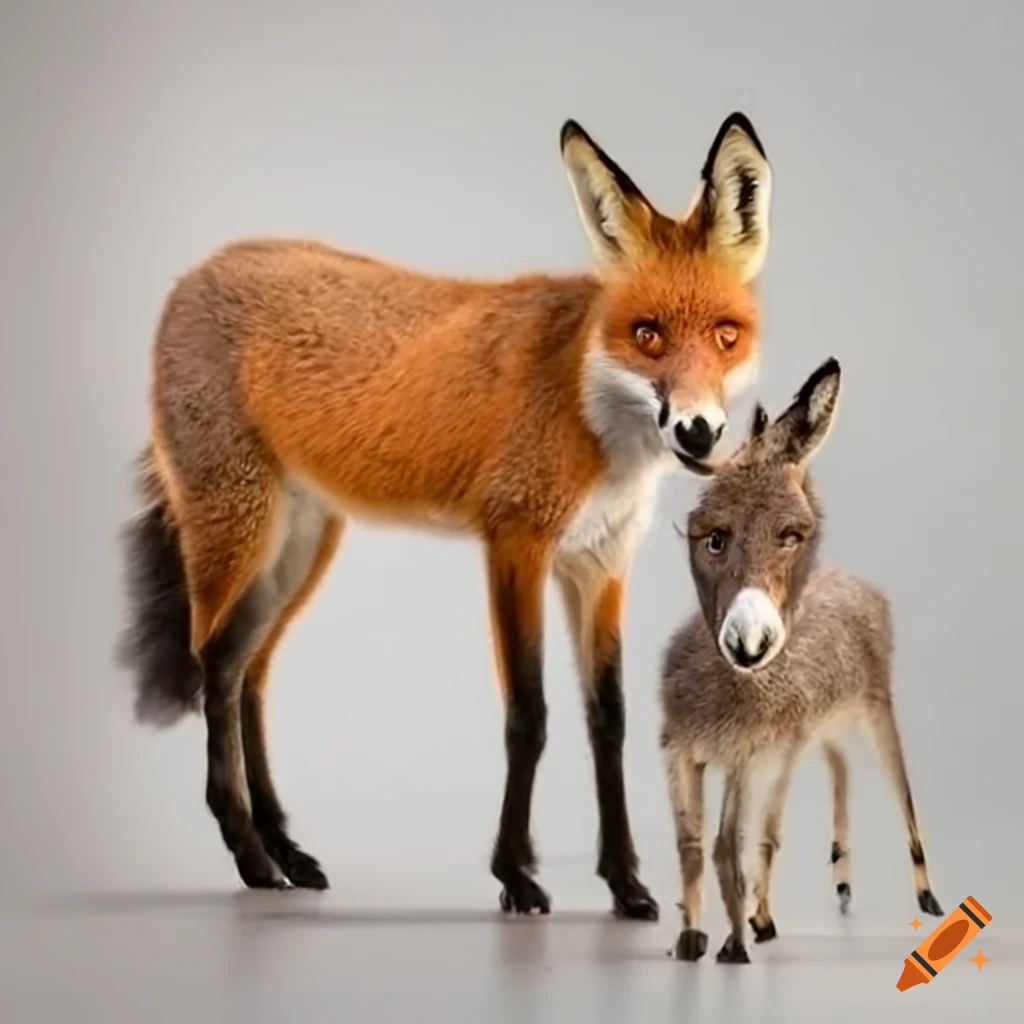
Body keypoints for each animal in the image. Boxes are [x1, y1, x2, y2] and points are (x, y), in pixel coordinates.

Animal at [116, 111, 773, 918]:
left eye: (725, 335)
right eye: (647, 334)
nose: (698, 431)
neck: (593, 415)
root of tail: (195, 270)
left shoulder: (600, 564)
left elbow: (609, 723)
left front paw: (624, 883)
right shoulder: (515, 543)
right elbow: (529, 716)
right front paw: (514, 873)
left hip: (300, 551)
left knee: (250, 671)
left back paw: (284, 849)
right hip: (236, 534)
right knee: (214, 667)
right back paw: (247, 853)